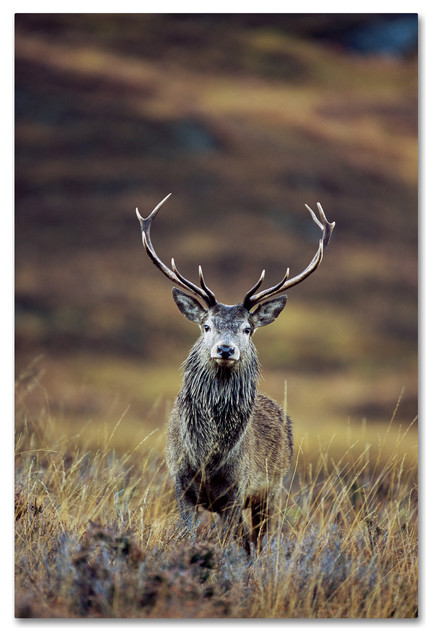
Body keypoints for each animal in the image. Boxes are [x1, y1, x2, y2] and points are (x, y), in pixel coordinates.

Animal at [136, 194, 335, 553]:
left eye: (247, 329)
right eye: (206, 325)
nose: (225, 350)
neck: (208, 457)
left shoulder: (237, 488)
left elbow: (234, 542)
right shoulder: (181, 485)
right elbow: (189, 535)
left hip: (274, 488)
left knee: (258, 538)